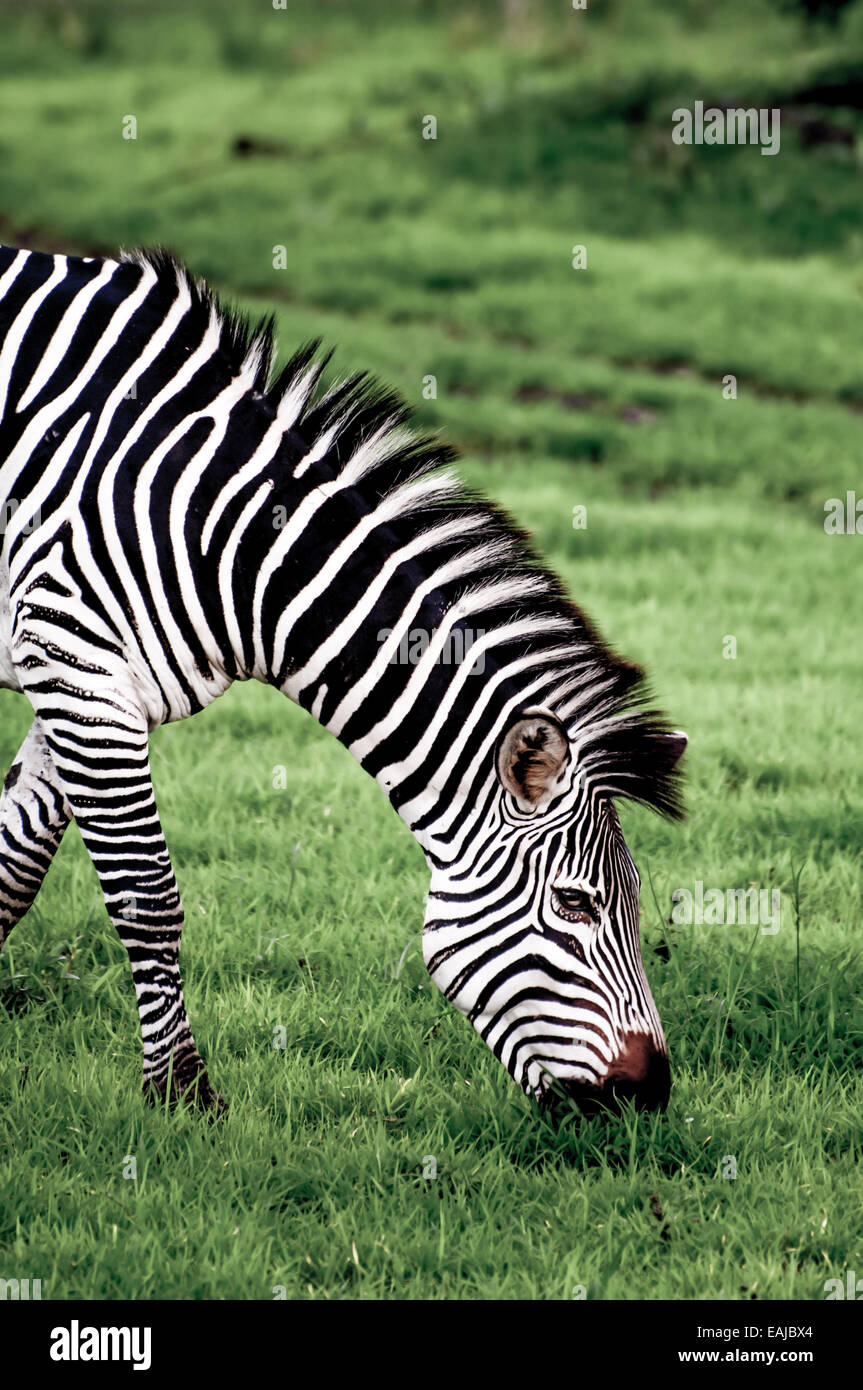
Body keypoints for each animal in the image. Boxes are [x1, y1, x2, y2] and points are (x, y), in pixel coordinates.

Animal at [0, 244, 687, 1118]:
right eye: (575, 903)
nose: (649, 1093)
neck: (231, 540)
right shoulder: (74, 659)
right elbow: (146, 895)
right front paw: (181, 1092)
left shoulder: (91, 688)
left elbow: (13, 866)